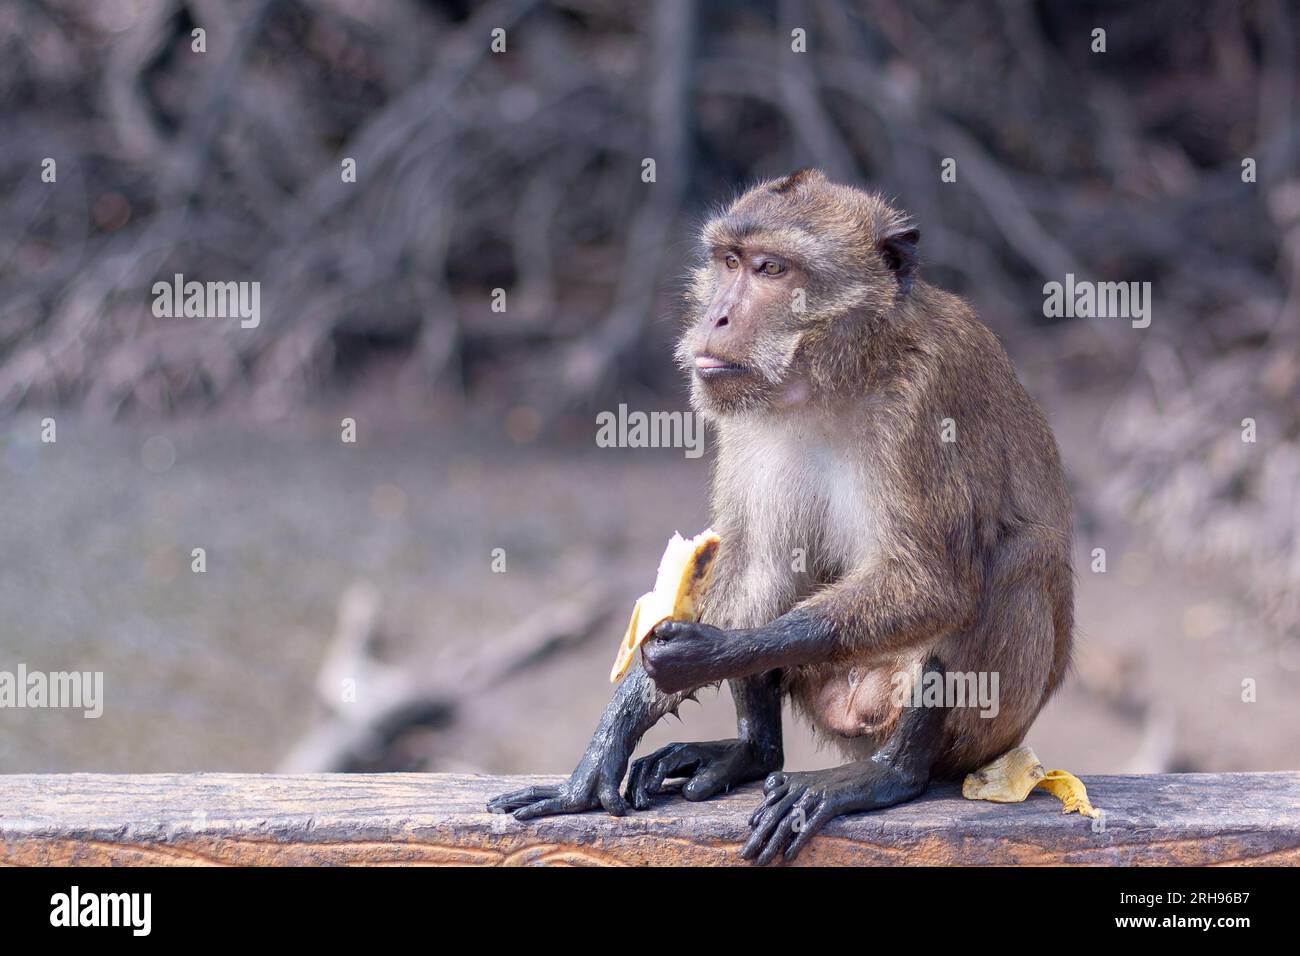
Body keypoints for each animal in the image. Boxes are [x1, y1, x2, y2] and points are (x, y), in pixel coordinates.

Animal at [488, 168, 1073, 865]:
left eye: (772, 269)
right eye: (730, 262)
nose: (717, 316)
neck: (841, 376)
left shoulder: (930, 400)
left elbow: (938, 582)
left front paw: (717, 651)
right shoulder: (744, 416)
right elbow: (756, 564)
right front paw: (618, 727)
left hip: (986, 725)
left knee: (1007, 561)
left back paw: (891, 772)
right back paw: (751, 751)